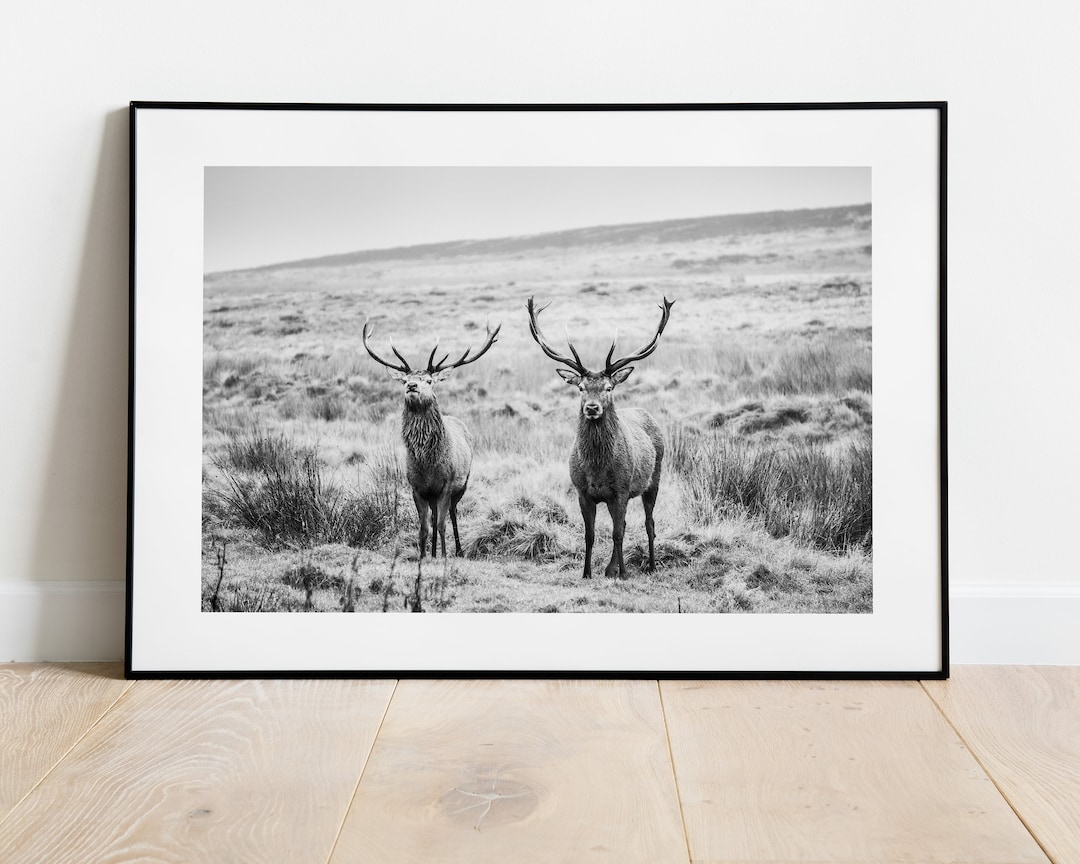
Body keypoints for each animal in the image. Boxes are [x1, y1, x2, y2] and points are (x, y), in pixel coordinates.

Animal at [362, 320, 500, 559]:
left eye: (428, 380)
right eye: (405, 380)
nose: (412, 386)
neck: (427, 464)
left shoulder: (446, 484)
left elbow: (443, 524)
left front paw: (444, 556)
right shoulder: (417, 488)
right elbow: (424, 527)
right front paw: (423, 556)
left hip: (462, 483)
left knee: (452, 513)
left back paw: (457, 550)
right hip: (433, 495)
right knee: (435, 517)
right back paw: (434, 552)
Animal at [526, 295, 675, 579]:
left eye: (608, 387)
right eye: (581, 388)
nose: (592, 408)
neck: (597, 468)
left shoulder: (621, 490)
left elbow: (617, 533)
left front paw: (624, 574)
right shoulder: (582, 492)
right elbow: (591, 535)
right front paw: (587, 572)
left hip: (655, 478)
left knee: (649, 523)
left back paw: (651, 565)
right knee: (626, 523)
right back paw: (610, 568)